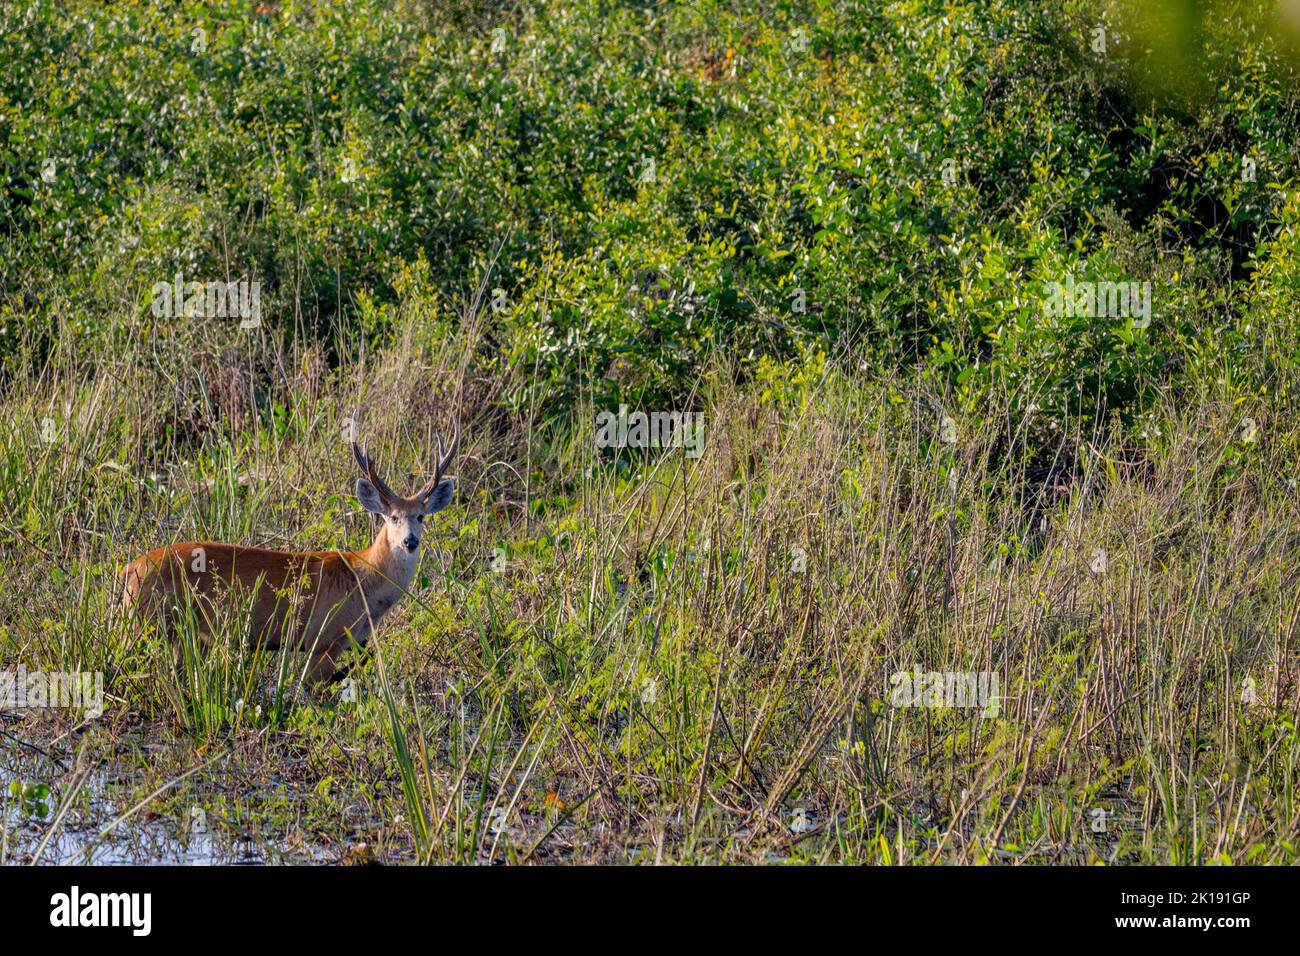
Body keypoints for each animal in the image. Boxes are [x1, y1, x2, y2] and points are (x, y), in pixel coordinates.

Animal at [121, 424, 458, 685]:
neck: (364, 581)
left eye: (421, 516)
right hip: (154, 622)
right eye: (392, 518)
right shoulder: (321, 638)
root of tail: (129, 570)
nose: (410, 541)